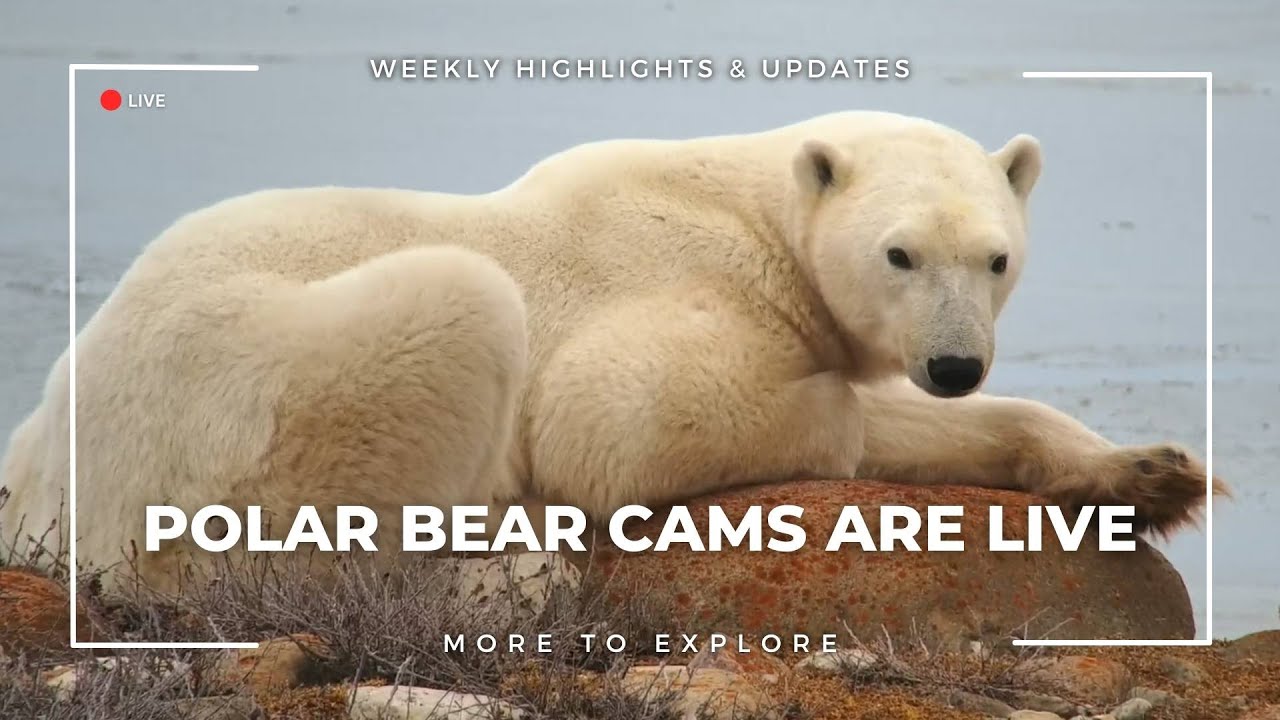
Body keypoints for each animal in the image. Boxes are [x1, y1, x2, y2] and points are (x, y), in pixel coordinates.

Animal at [0, 110, 1220, 591]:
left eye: (996, 258)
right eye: (899, 253)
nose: (956, 364)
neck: (750, 211)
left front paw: (1150, 476)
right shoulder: (667, 282)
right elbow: (618, 421)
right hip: (240, 410)